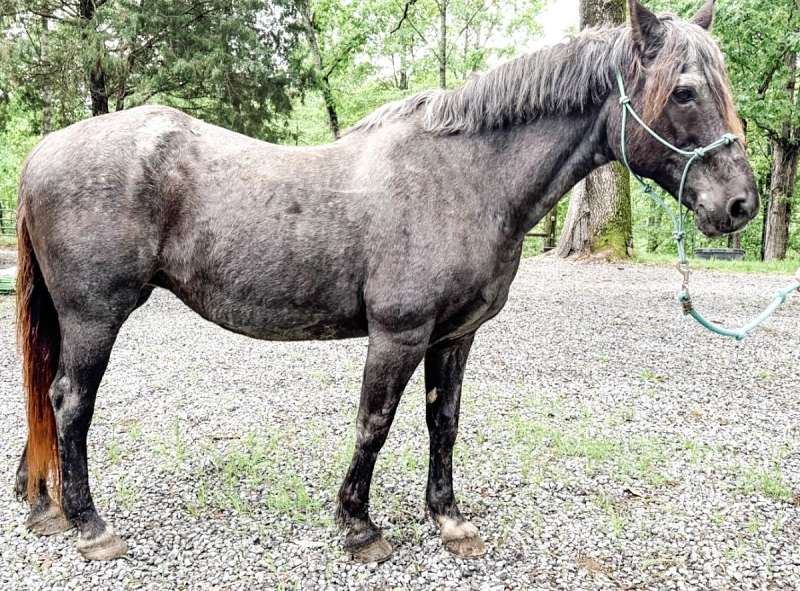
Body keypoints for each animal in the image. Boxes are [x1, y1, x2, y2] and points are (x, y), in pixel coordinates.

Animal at [14, 0, 757, 563]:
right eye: (685, 91)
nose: (740, 204)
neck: (465, 180)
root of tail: (43, 150)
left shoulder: (454, 337)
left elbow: (442, 421)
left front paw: (449, 519)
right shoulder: (398, 334)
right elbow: (375, 421)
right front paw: (360, 526)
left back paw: (47, 506)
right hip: (94, 316)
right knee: (71, 401)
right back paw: (90, 526)